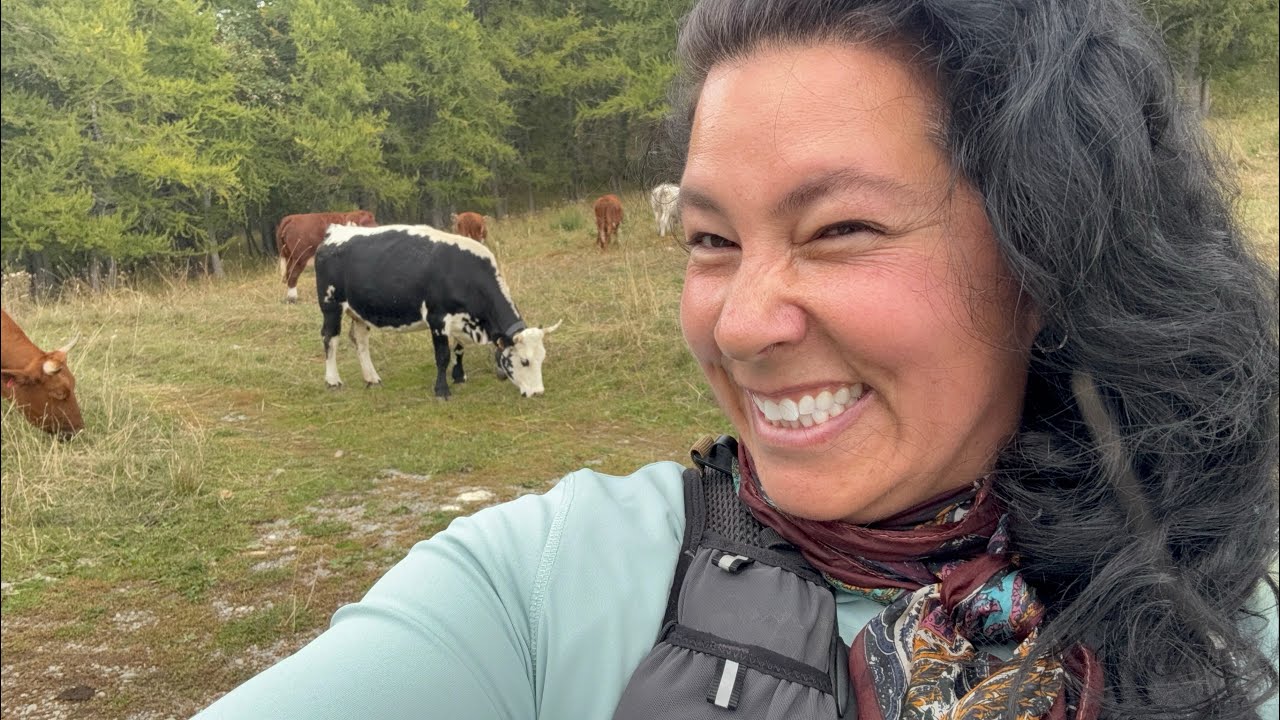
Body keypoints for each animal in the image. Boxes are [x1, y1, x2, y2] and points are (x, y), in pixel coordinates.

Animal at [314, 225, 561, 399]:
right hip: (331, 305)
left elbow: (459, 349)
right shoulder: (437, 319)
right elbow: (443, 356)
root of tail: (335, 231)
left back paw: (372, 377)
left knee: (361, 341)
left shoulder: (460, 320)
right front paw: (441, 389)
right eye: (525, 361)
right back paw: (332, 380)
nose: (538, 392)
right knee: (330, 339)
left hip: (359, 312)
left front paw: (459, 376)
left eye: (542, 358)